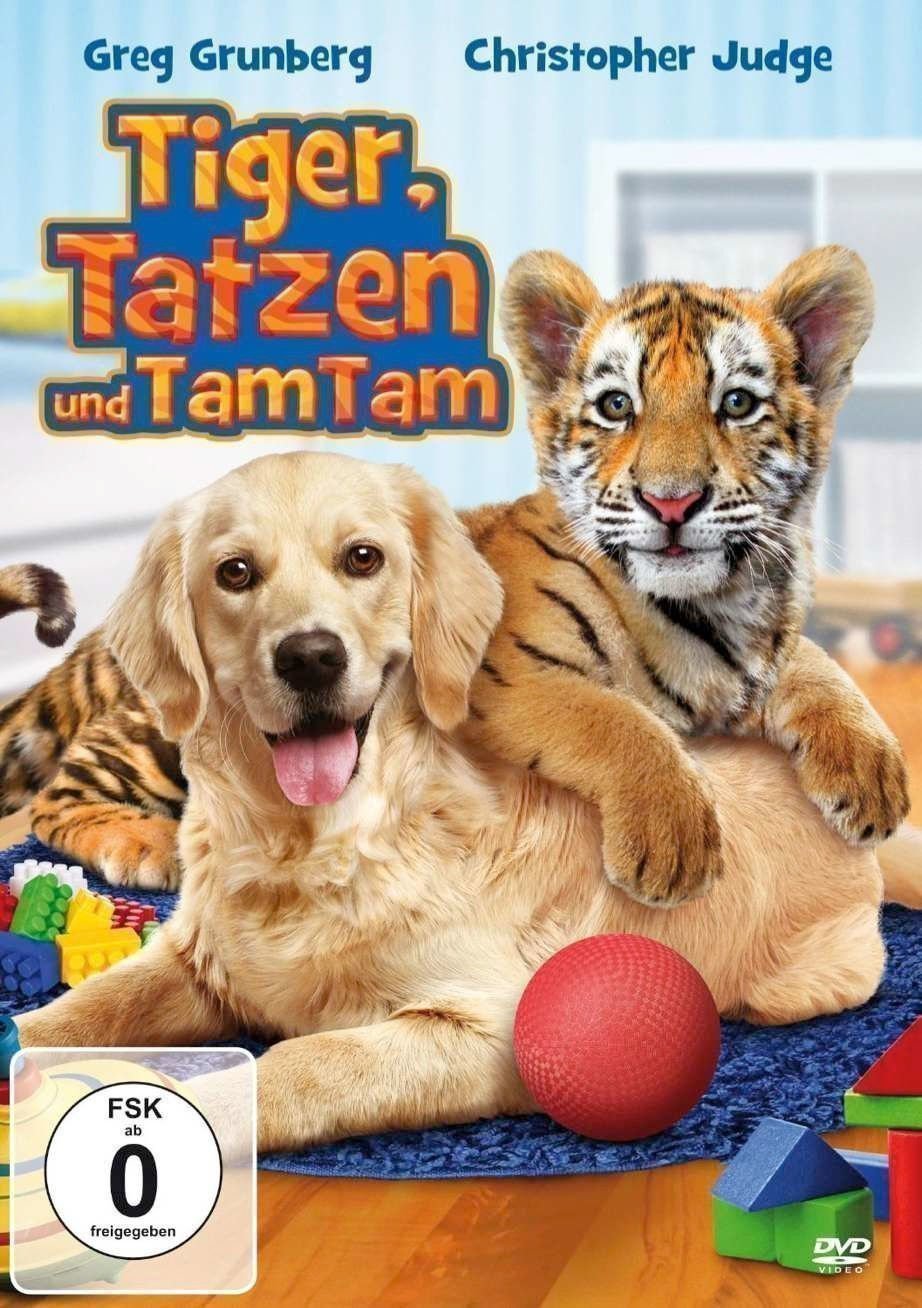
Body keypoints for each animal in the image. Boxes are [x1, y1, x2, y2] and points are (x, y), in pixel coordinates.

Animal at [0, 244, 909, 901]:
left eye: (737, 405)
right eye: (618, 406)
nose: (672, 501)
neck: (720, 603)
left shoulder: (760, 652)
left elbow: (817, 667)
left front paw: (873, 774)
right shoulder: (505, 679)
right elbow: (617, 720)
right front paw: (673, 836)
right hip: (178, 727)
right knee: (53, 798)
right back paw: (144, 844)